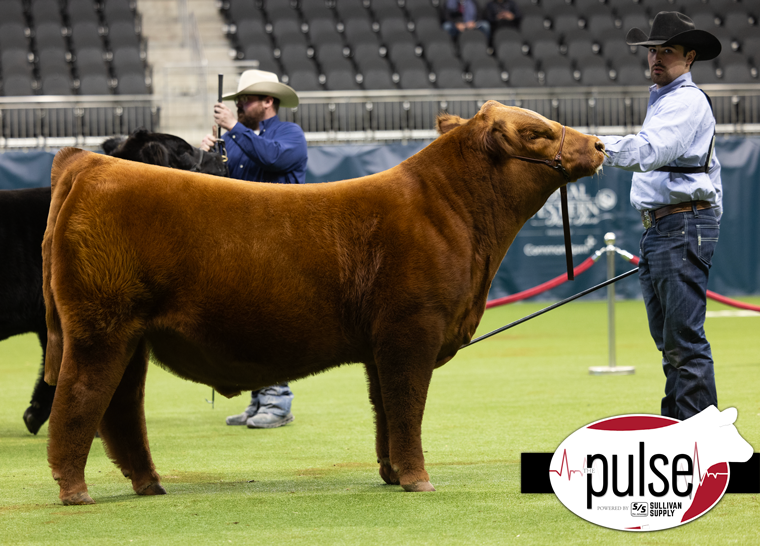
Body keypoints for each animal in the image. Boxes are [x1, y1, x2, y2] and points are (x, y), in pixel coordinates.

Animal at [42, 101, 606, 505]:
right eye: (534, 132)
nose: (601, 144)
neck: (453, 212)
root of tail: (90, 162)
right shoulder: (411, 330)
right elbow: (407, 405)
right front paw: (418, 479)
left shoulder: (382, 344)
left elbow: (386, 410)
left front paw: (392, 473)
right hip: (100, 327)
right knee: (79, 398)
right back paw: (75, 491)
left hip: (131, 335)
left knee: (119, 410)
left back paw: (148, 484)